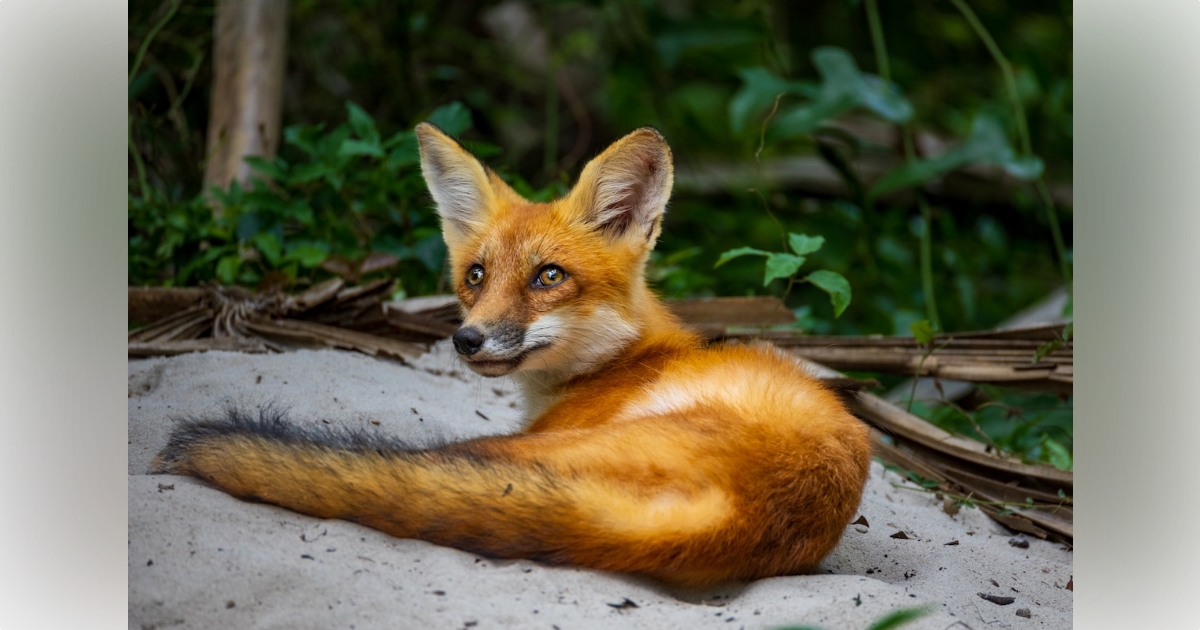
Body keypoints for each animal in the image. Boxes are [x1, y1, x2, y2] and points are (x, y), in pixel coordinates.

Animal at [151, 123, 871, 587]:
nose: (466, 339)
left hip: (519, 450)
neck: (620, 360)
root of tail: (735, 512)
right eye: (476, 275)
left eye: (548, 277)